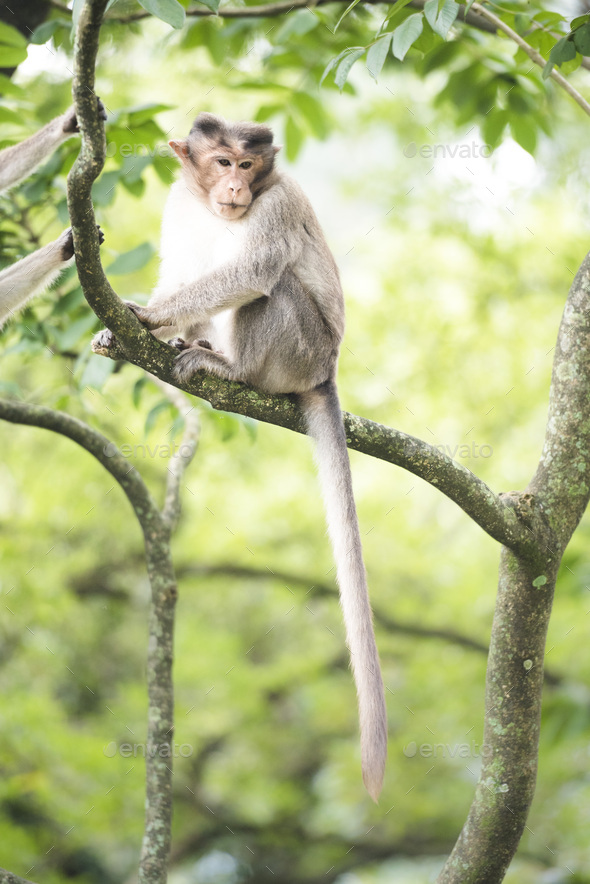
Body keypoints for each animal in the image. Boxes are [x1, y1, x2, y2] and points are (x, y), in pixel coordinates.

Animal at [116, 112, 388, 800]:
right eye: (221, 162)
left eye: (248, 165)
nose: (236, 188)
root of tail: (326, 372)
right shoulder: (179, 201)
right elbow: (180, 266)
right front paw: (144, 321)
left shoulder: (279, 200)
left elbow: (255, 272)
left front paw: (147, 316)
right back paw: (198, 343)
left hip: (300, 350)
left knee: (273, 283)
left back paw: (230, 368)